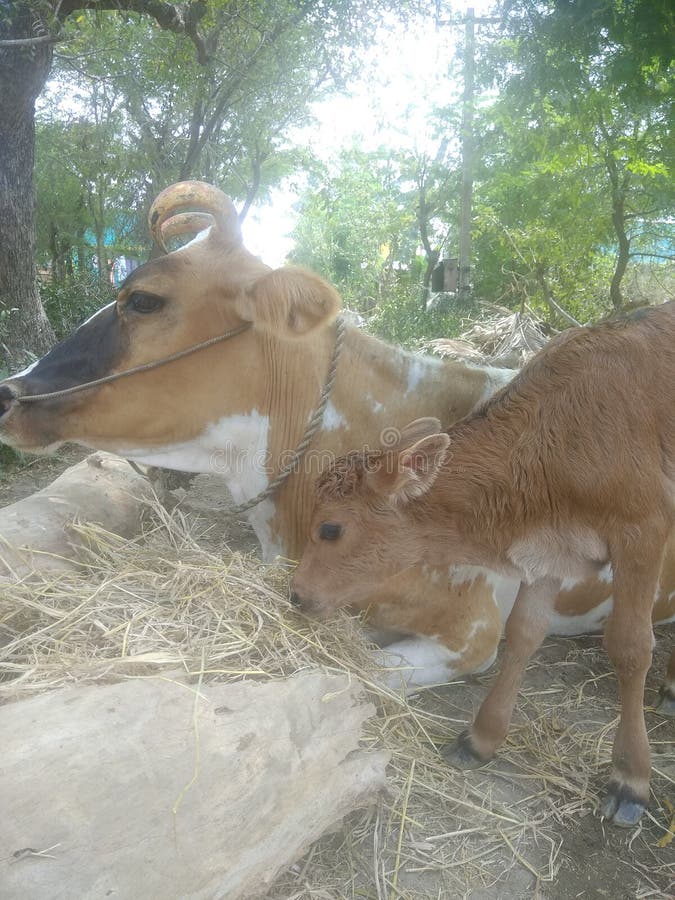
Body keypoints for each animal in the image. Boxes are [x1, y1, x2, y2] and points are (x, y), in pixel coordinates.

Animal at [291, 302, 675, 827]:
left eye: (330, 528)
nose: (296, 593)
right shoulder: (550, 547)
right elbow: (524, 632)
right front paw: (482, 738)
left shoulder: (643, 527)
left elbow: (631, 647)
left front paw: (631, 777)